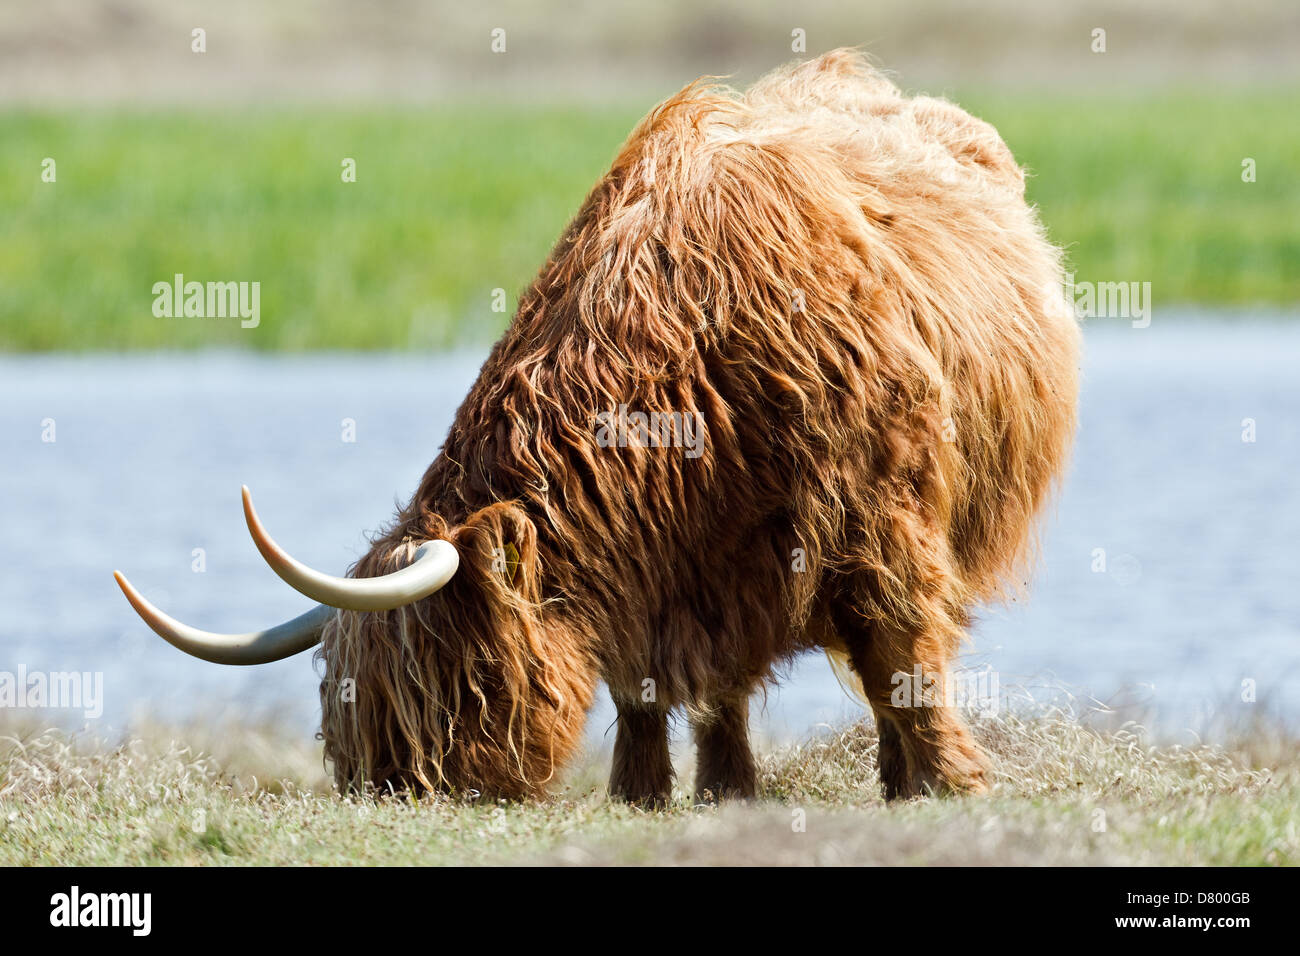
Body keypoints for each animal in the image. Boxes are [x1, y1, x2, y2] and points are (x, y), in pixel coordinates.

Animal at [115, 50, 1080, 805]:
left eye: (448, 684)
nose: (388, 790)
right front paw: (674, 794)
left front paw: (954, 782)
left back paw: (905, 776)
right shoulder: (677, 571)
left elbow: (901, 648)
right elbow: (660, 688)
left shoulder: (885, 512)